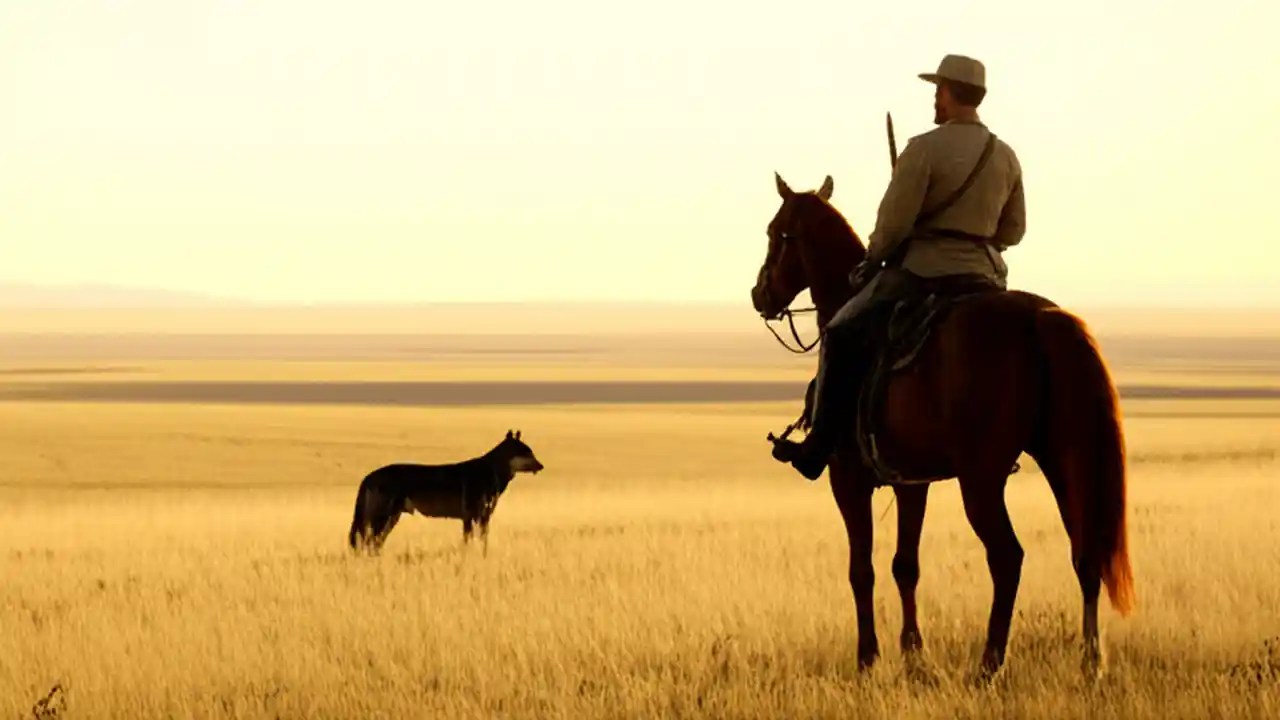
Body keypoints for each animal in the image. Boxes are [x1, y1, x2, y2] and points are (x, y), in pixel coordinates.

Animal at [347, 429, 544, 554]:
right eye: (527, 453)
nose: (541, 466)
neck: (492, 472)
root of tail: (368, 476)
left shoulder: (483, 518)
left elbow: (482, 541)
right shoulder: (470, 517)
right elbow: (469, 541)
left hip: (391, 518)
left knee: (374, 542)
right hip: (384, 518)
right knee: (369, 541)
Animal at [750, 172, 1134, 682]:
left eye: (776, 233)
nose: (759, 294)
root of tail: (1042, 320)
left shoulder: (847, 478)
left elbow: (862, 570)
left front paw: (867, 658)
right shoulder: (912, 483)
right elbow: (905, 565)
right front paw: (914, 655)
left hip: (982, 479)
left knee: (1007, 557)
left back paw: (990, 664)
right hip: (1064, 460)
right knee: (1086, 554)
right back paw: (1091, 662)